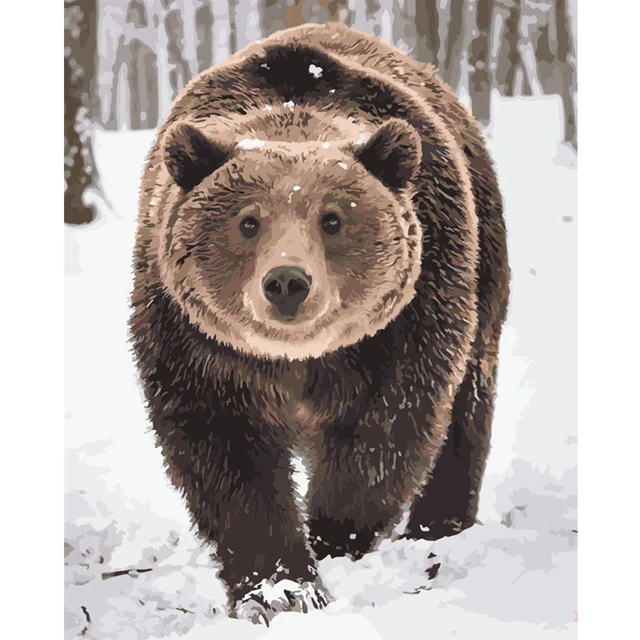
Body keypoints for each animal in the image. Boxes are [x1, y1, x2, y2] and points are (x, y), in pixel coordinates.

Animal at [129, 22, 510, 623]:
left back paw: (439, 529)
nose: (287, 282)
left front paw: (332, 537)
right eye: (248, 221)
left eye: (333, 219)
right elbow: (226, 457)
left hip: (484, 267)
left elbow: (387, 431)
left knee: (467, 407)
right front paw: (281, 587)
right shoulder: (193, 341)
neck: (299, 360)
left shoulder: (408, 319)